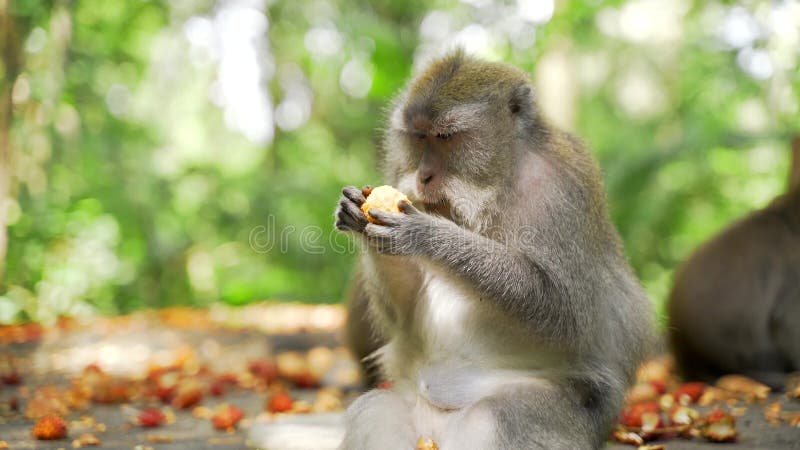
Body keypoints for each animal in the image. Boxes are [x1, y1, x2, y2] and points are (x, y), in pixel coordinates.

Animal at [334, 50, 653, 450]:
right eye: (420, 138)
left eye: (446, 137)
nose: (423, 176)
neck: (502, 180)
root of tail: (437, 433)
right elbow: (405, 316)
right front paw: (357, 216)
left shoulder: (565, 189)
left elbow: (565, 311)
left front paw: (424, 236)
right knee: (375, 410)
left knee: (501, 415)